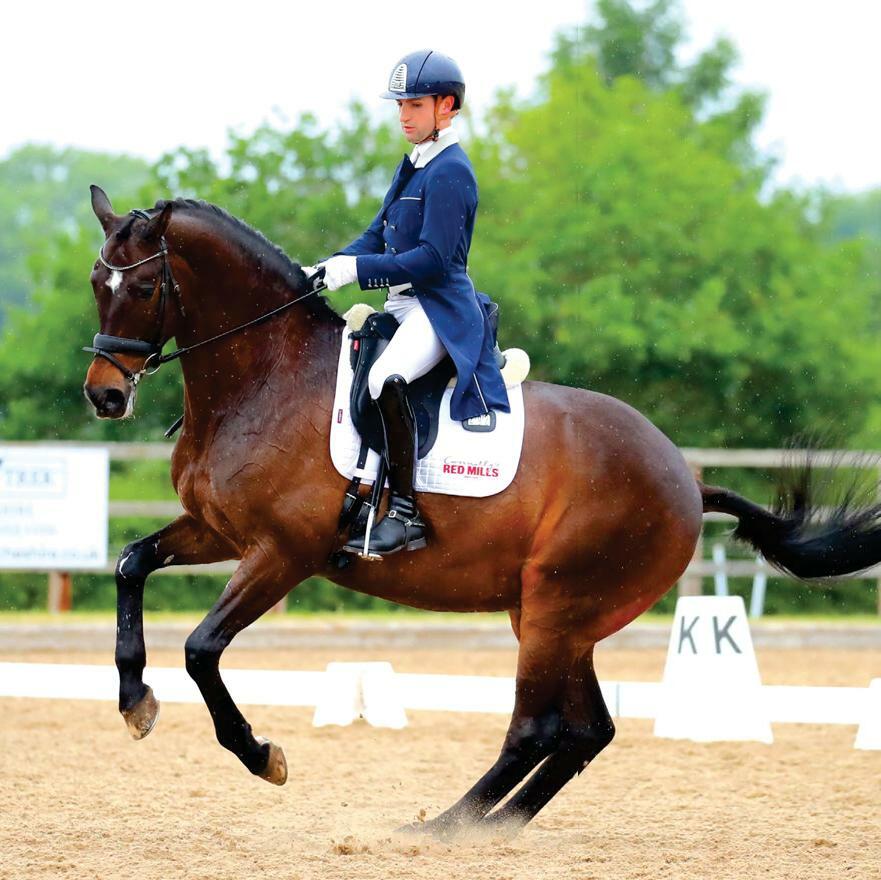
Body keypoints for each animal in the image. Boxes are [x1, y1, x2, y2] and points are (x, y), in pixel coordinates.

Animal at [82, 185, 881, 837]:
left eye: (146, 285)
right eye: (98, 281)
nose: (105, 395)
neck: (267, 378)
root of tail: (686, 477)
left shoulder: (283, 552)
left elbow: (201, 648)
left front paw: (261, 754)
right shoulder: (218, 532)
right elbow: (131, 564)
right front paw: (134, 700)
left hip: (557, 605)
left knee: (536, 728)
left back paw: (445, 828)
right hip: (558, 617)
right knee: (585, 731)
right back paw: (491, 827)